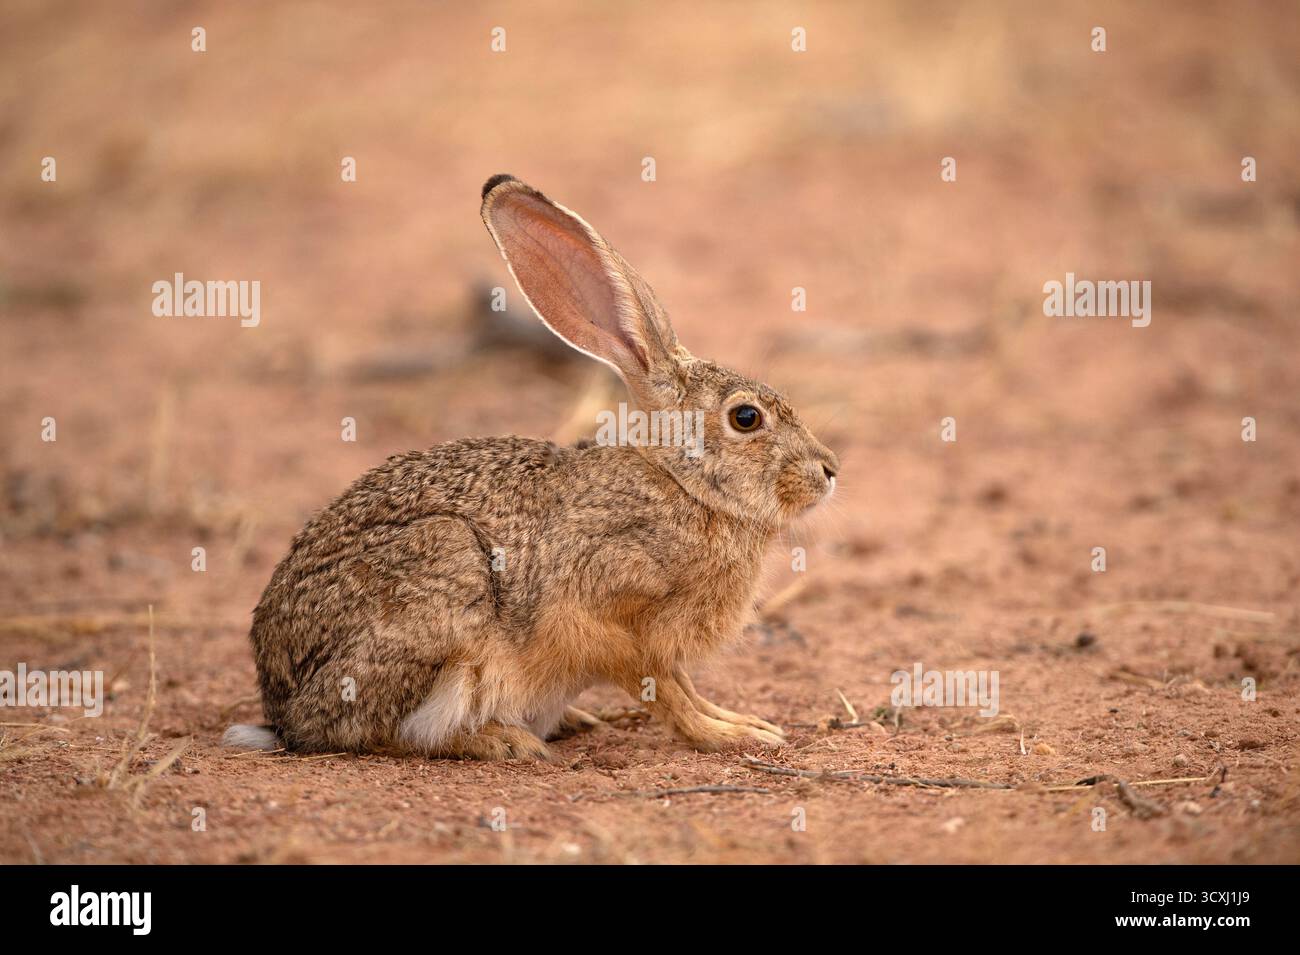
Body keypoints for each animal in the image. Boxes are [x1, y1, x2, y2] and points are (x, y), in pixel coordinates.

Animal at [223, 174, 839, 760]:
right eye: (745, 418)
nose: (829, 470)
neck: (683, 486)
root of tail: (282, 712)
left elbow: (684, 685)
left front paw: (745, 722)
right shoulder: (609, 613)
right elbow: (665, 692)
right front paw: (730, 736)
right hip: (441, 573)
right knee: (373, 731)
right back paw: (504, 741)